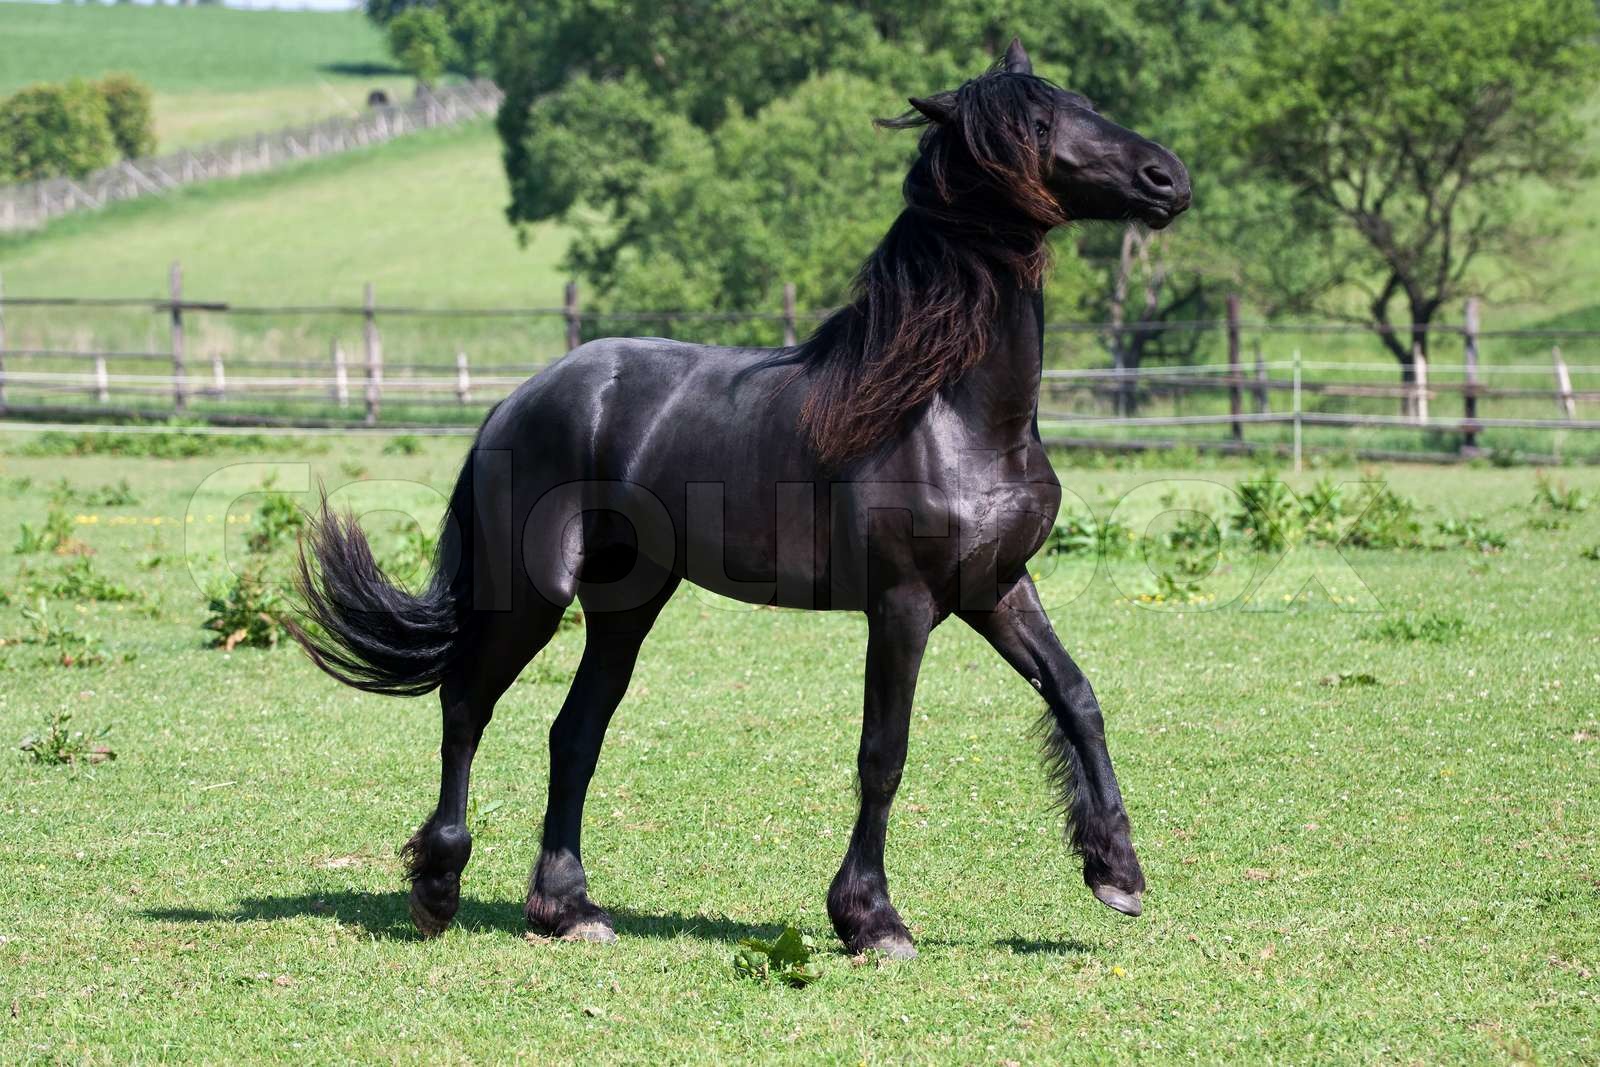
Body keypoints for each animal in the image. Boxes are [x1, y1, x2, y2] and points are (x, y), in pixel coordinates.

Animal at [293, 38, 1190, 960]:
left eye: (1082, 103)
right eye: (1038, 124)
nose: (1167, 176)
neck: (954, 411)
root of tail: (519, 398)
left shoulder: (997, 587)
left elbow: (1078, 696)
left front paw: (1117, 872)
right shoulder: (901, 604)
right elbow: (884, 752)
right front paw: (871, 918)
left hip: (627, 602)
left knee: (573, 732)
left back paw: (568, 907)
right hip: (531, 592)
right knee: (467, 704)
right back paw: (437, 888)